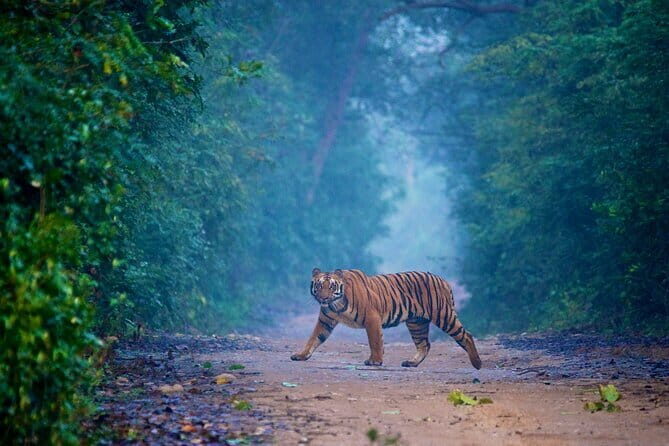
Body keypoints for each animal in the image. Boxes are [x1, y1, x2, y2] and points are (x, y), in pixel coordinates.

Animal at [290, 268, 482, 369]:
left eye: (331, 287)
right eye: (319, 285)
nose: (323, 298)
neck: (335, 305)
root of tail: (443, 280)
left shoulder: (372, 318)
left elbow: (375, 341)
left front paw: (374, 361)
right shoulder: (325, 321)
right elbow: (313, 339)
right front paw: (301, 355)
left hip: (443, 315)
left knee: (466, 335)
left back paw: (477, 363)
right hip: (416, 323)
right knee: (424, 344)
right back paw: (411, 362)